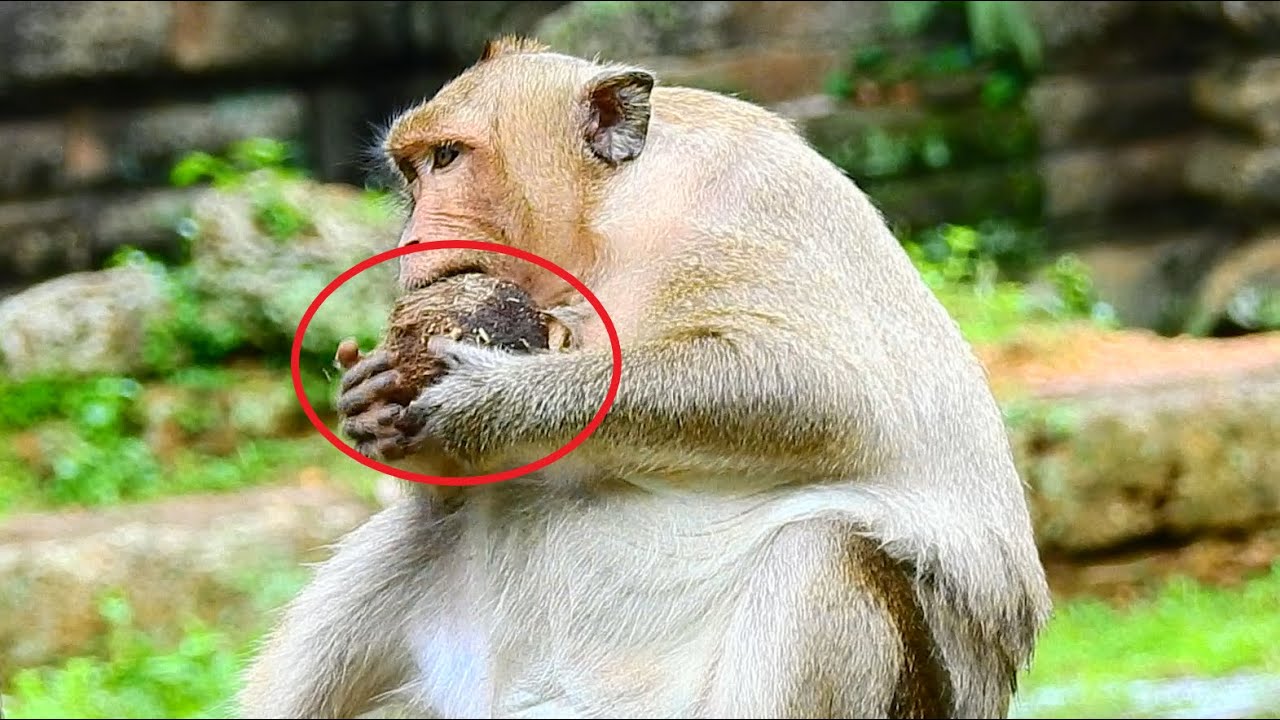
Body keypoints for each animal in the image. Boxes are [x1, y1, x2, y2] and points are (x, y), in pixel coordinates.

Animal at [238, 35, 1053, 719]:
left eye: (446, 157)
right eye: (411, 170)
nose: (409, 237)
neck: (608, 222)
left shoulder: (745, 198)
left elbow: (822, 390)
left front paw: (487, 399)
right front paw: (369, 398)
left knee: (820, 551)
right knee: (420, 532)